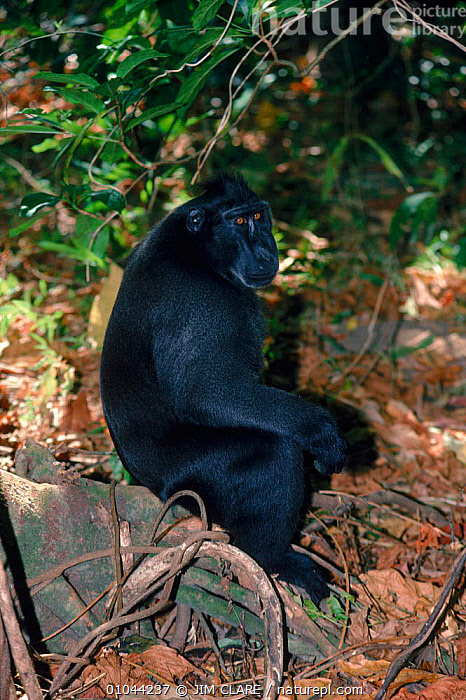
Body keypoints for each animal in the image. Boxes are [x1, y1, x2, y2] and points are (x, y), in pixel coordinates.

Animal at [100, 174, 346, 602]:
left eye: (259, 217)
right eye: (240, 222)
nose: (266, 250)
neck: (194, 250)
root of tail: (149, 484)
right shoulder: (201, 304)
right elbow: (206, 392)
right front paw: (320, 431)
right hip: (195, 479)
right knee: (275, 454)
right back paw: (273, 558)